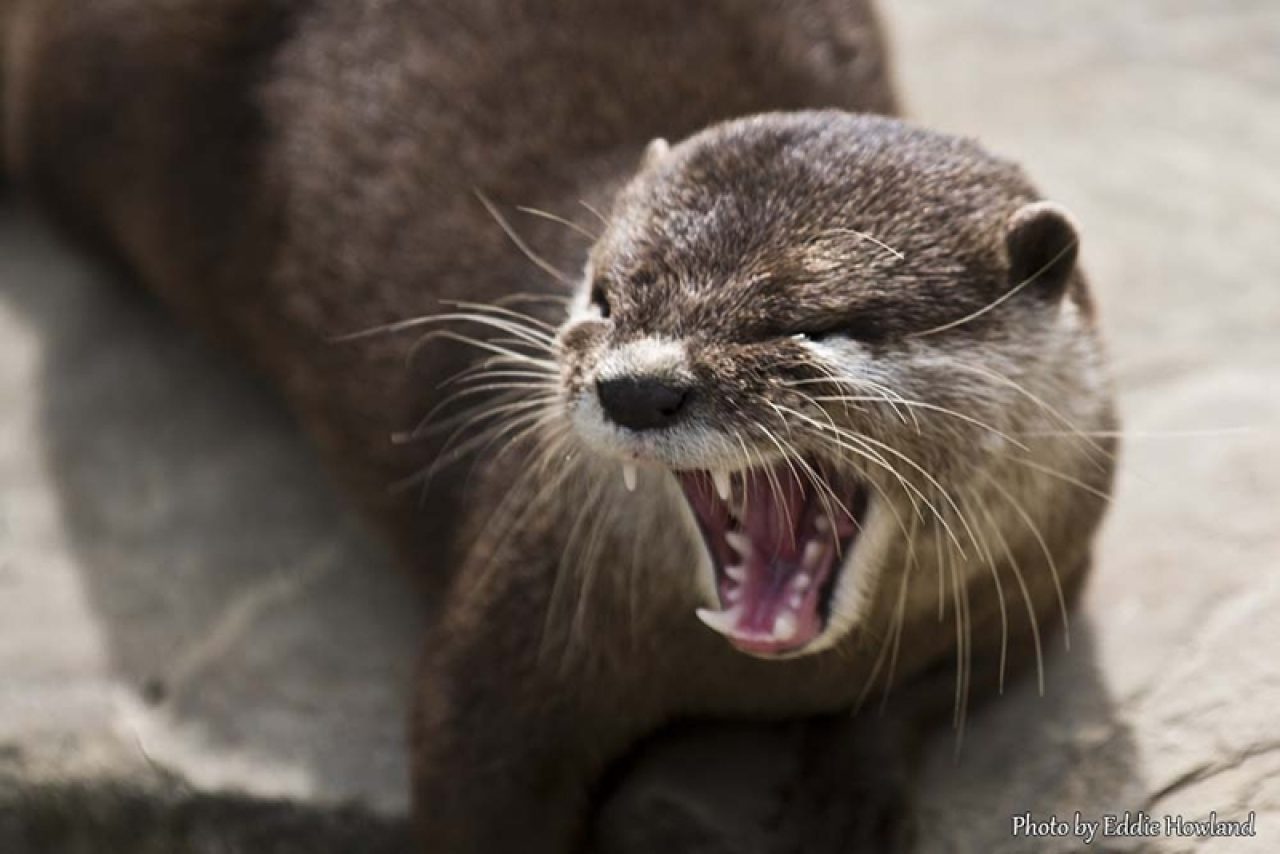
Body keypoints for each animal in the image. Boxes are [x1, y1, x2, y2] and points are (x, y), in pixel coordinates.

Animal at [3, 1, 1117, 851]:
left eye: (811, 321)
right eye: (606, 292)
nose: (636, 385)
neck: (743, 674)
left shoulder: (1047, 571)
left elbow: (933, 691)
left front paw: (847, 797)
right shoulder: (507, 634)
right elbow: (472, 774)